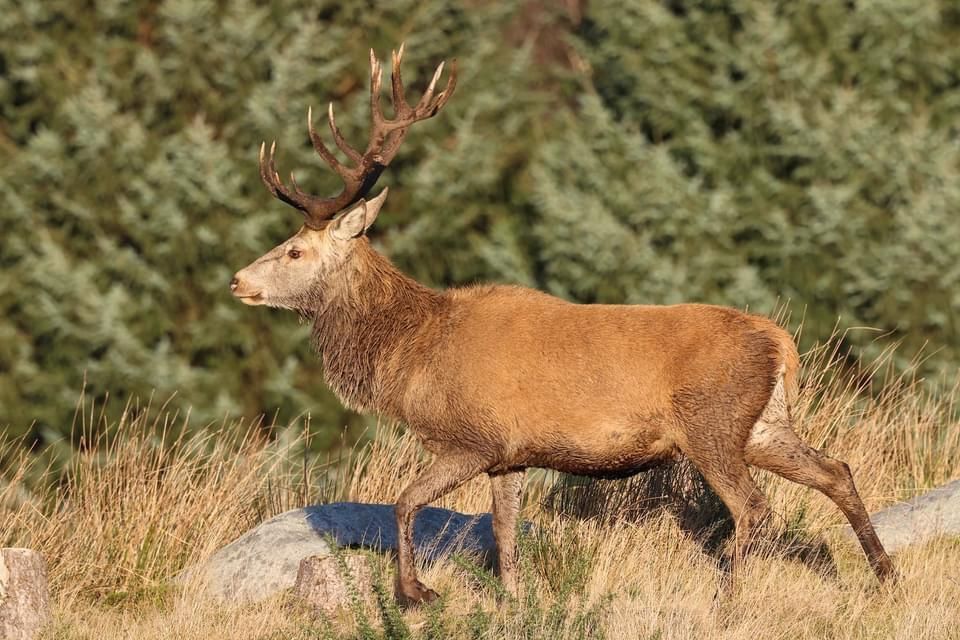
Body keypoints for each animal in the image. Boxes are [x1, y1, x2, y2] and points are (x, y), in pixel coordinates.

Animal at [230, 45, 895, 605]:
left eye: (294, 251)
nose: (237, 280)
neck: (409, 353)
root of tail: (781, 343)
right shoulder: (510, 455)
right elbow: (504, 535)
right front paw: (513, 601)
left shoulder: (471, 437)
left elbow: (403, 502)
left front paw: (415, 593)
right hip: (762, 423)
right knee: (835, 470)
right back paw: (884, 574)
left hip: (712, 421)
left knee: (754, 507)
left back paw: (727, 602)